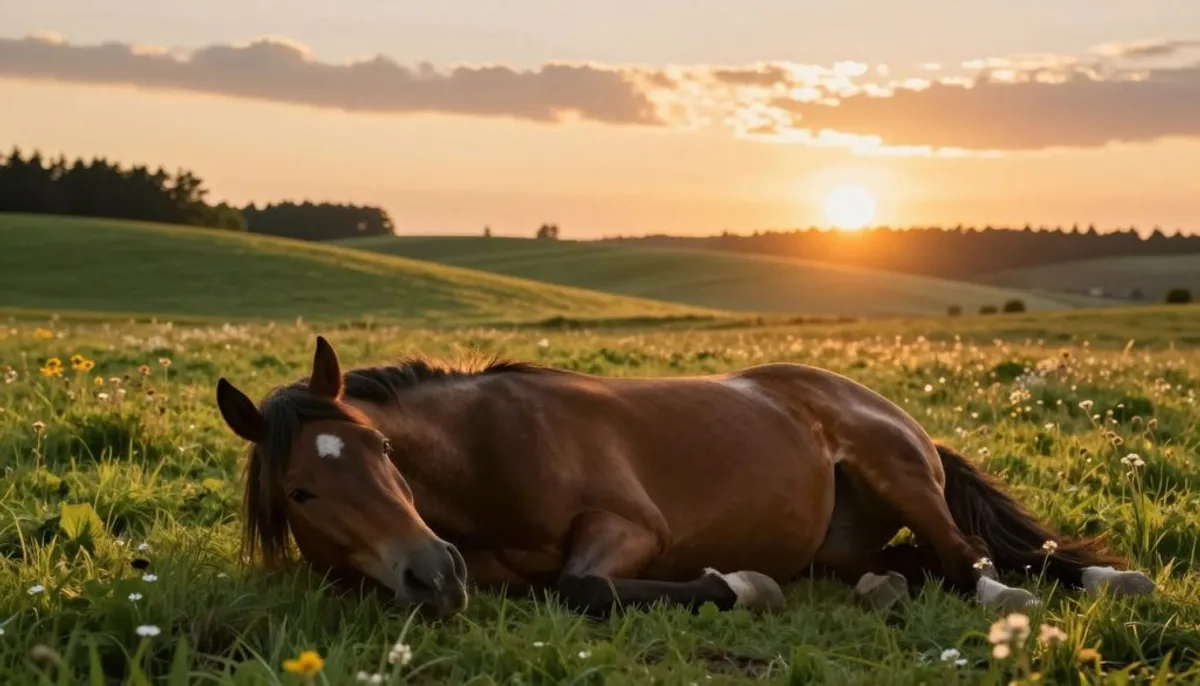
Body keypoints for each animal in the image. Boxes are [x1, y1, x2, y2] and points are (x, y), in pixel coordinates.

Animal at [215, 335, 1156, 620]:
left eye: (380, 450)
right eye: (301, 493)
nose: (432, 574)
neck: (483, 454)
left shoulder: (632, 529)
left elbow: (585, 588)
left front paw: (742, 585)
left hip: (899, 475)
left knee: (973, 559)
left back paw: (1065, 589)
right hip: (844, 546)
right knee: (919, 566)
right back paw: (886, 589)